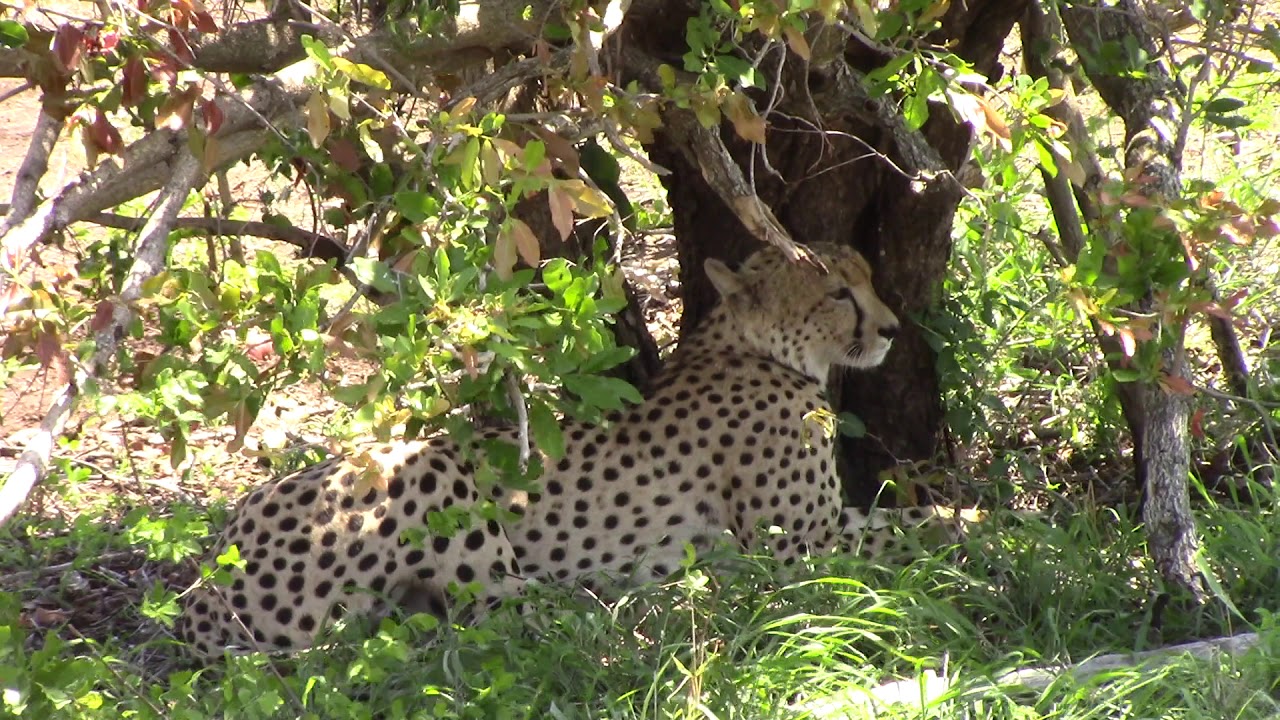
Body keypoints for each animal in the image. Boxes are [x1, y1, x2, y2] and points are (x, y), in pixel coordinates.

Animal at [177, 242, 976, 658]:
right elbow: (919, 533)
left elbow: (919, 517)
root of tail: (202, 588)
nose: (892, 328)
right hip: (429, 467)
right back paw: (634, 602)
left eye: (866, 279)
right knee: (508, 615)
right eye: (839, 292)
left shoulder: (826, 529)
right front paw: (987, 540)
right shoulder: (795, 551)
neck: (756, 349)